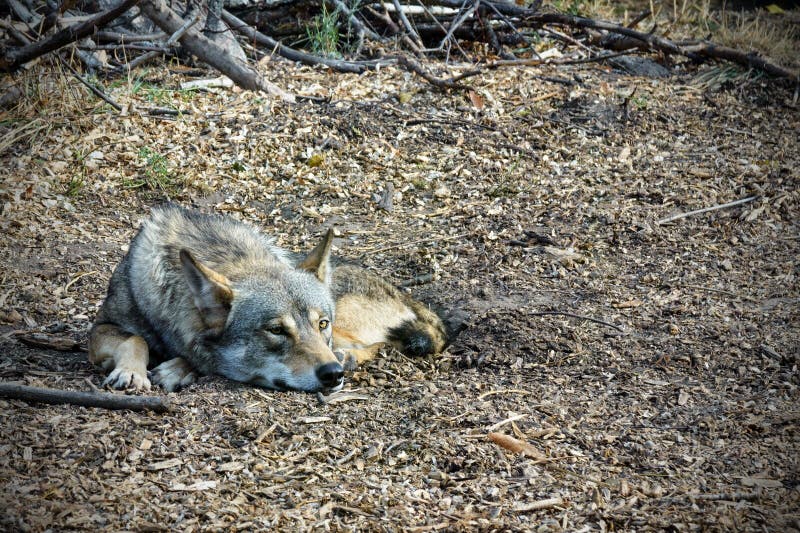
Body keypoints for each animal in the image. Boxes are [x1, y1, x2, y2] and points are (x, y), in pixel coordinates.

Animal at [89, 205, 450, 393]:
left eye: (321, 324)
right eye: (276, 330)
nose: (332, 374)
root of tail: (405, 295)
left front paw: (176, 368)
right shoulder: (101, 327)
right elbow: (136, 338)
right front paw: (131, 372)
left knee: (377, 347)